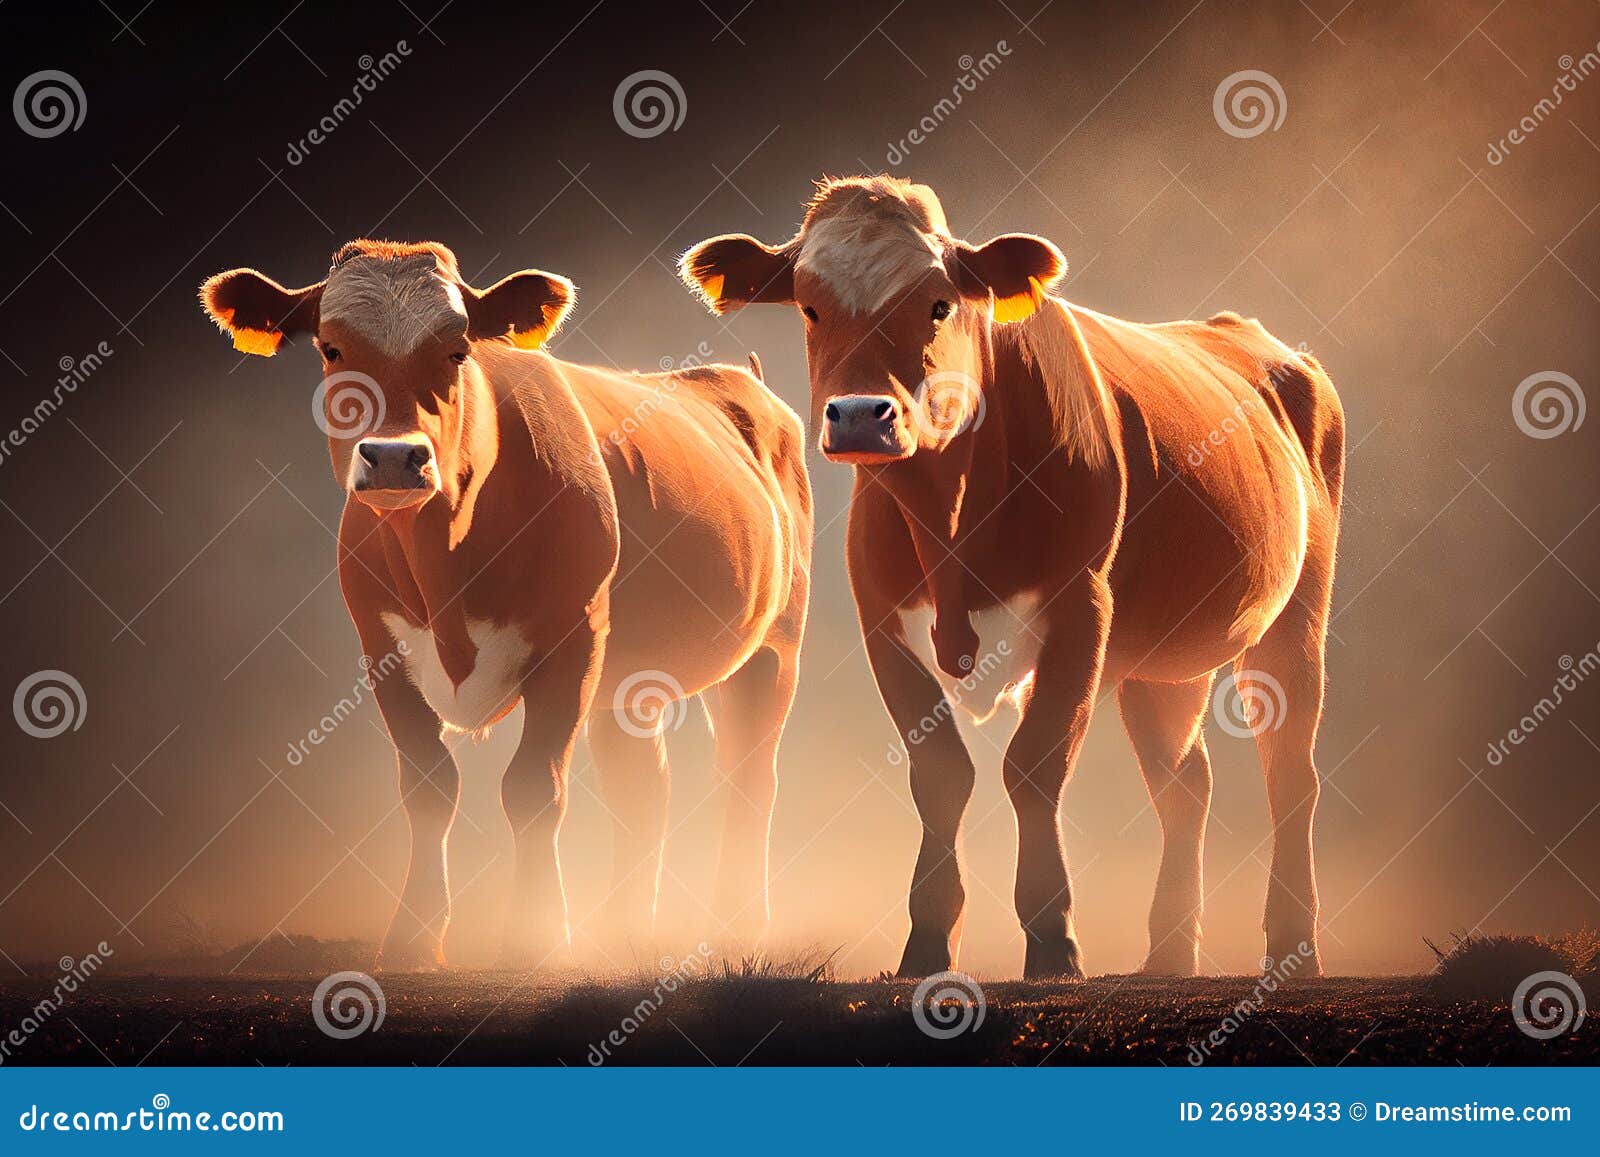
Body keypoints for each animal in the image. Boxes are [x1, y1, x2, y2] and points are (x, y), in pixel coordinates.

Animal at [200, 240, 812, 969]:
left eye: (457, 350)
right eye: (330, 347)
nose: (395, 457)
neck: (444, 563)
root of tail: (735, 376)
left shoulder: (575, 638)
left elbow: (531, 788)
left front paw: (534, 935)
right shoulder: (380, 650)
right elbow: (428, 787)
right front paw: (413, 936)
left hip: (773, 645)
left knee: (750, 776)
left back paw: (738, 926)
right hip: (630, 682)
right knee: (643, 791)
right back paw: (627, 933)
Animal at [681, 177, 1344, 980]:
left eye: (939, 303)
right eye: (809, 303)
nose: (861, 416)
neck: (952, 513)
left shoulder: (1080, 610)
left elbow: (1034, 765)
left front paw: (1053, 940)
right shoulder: (882, 622)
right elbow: (940, 773)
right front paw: (927, 943)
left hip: (1297, 614)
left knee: (1292, 774)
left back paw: (1293, 948)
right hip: (1162, 659)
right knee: (1185, 783)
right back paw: (1167, 955)